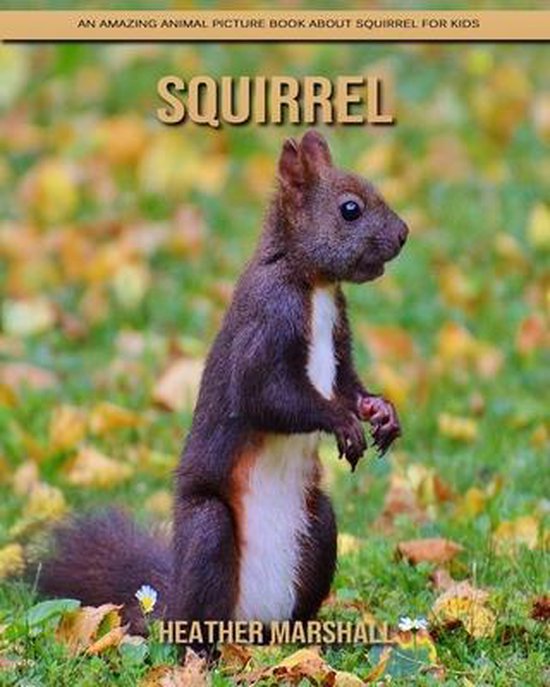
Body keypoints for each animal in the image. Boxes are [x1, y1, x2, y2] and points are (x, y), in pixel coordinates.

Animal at [37, 131, 408, 640]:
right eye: (349, 209)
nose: (403, 233)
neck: (311, 285)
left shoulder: (338, 336)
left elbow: (349, 382)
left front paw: (381, 412)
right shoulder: (266, 323)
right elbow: (265, 397)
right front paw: (342, 421)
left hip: (321, 526)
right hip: (209, 533)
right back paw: (204, 649)